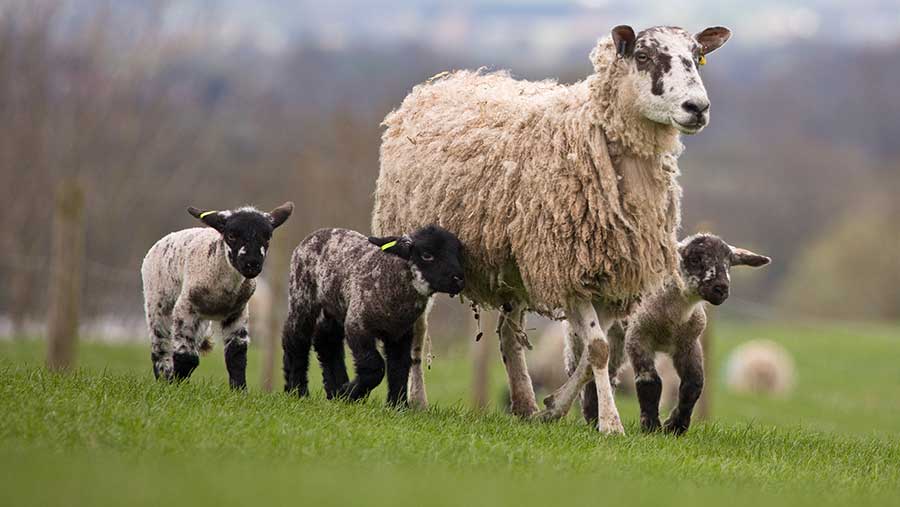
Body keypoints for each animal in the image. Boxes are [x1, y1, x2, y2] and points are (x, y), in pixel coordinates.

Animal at [141, 202, 294, 388]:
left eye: (268, 237)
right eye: (231, 235)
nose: (252, 264)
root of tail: (165, 239)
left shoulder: (238, 312)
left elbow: (236, 355)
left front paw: (239, 390)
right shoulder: (185, 308)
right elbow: (186, 356)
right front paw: (176, 388)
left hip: (201, 321)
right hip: (157, 304)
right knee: (161, 349)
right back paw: (165, 379)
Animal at [281, 225, 465, 405]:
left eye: (457, 253)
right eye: (427, 255)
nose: (459, 279)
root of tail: (317, 233)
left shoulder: (401, 334)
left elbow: (399, 367)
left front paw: (396, 405)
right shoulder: (357, 325)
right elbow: (374, 367)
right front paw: (349, 394)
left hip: (335, 304)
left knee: (326, 340)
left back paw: (333, 390)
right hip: (302, 294)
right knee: (296, 339)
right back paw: (297, 390)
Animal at [372, 24, 732, 432]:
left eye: (697, 56)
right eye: (643, 56)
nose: (697, 108)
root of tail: (442, 81)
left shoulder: (608, 279)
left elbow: (593, 353)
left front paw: (554, 407)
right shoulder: (567, 268)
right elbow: (598, 349)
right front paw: (610, 423)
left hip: (513, 266)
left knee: (508, 335)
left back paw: (525, 405)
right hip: (416, 249)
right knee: (418, 328)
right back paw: (416, 399)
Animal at [598, 234, 770, 435]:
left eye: (729, 263)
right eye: (695, 259)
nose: (721, 289)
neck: (674, 316)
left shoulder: (688, 343)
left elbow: (693, 384)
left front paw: (675, 426)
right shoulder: (638, 336)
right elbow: (650, 381)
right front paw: (651, 426)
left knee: (608, 373)